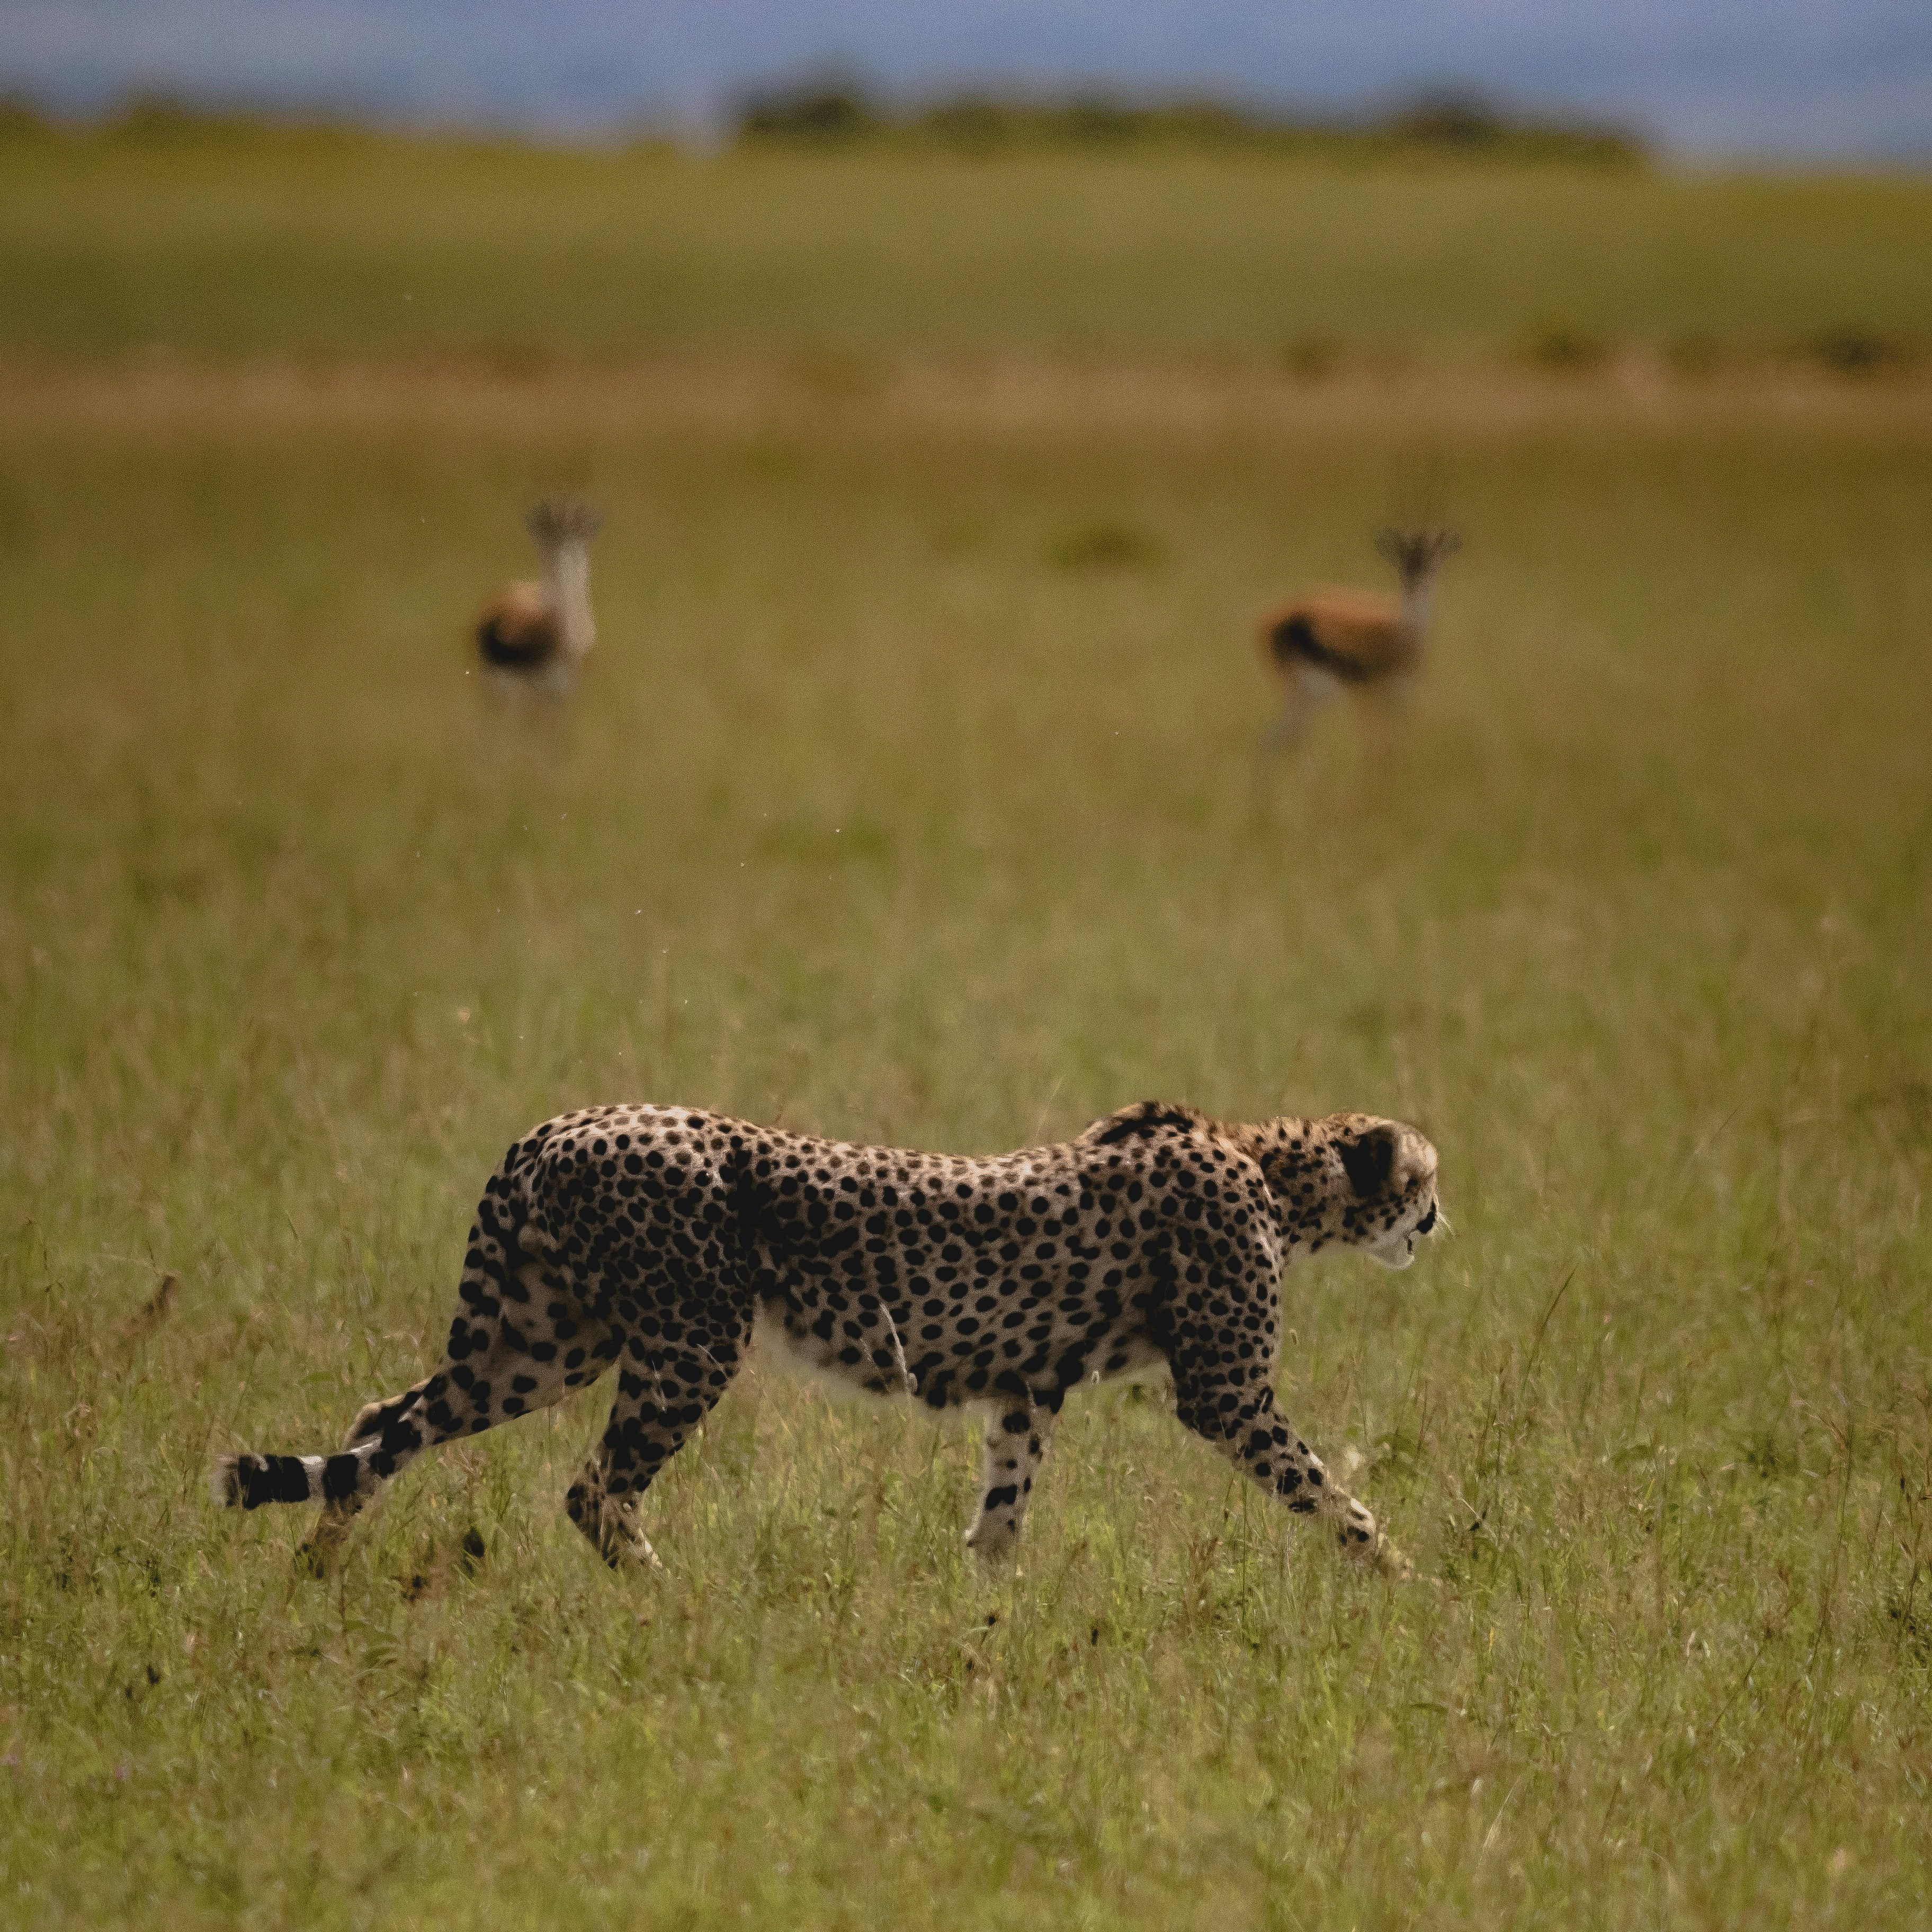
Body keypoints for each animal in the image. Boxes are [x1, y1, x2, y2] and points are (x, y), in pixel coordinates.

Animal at [213, 1097, 1441, 1580]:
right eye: (1424, 1179)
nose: (1438, 1222)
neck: (1270, 1164)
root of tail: (559, 1123)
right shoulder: (1224, 1393)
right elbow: (1327, 1488)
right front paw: (1403, 1580)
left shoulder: (1024, 1386)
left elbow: (1002, 1513)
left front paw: (984, 1607)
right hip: (686, 1340)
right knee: (592, 1489)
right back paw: (670, 1596)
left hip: (543, 1342)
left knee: (383, 1424)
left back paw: (315, 1570)